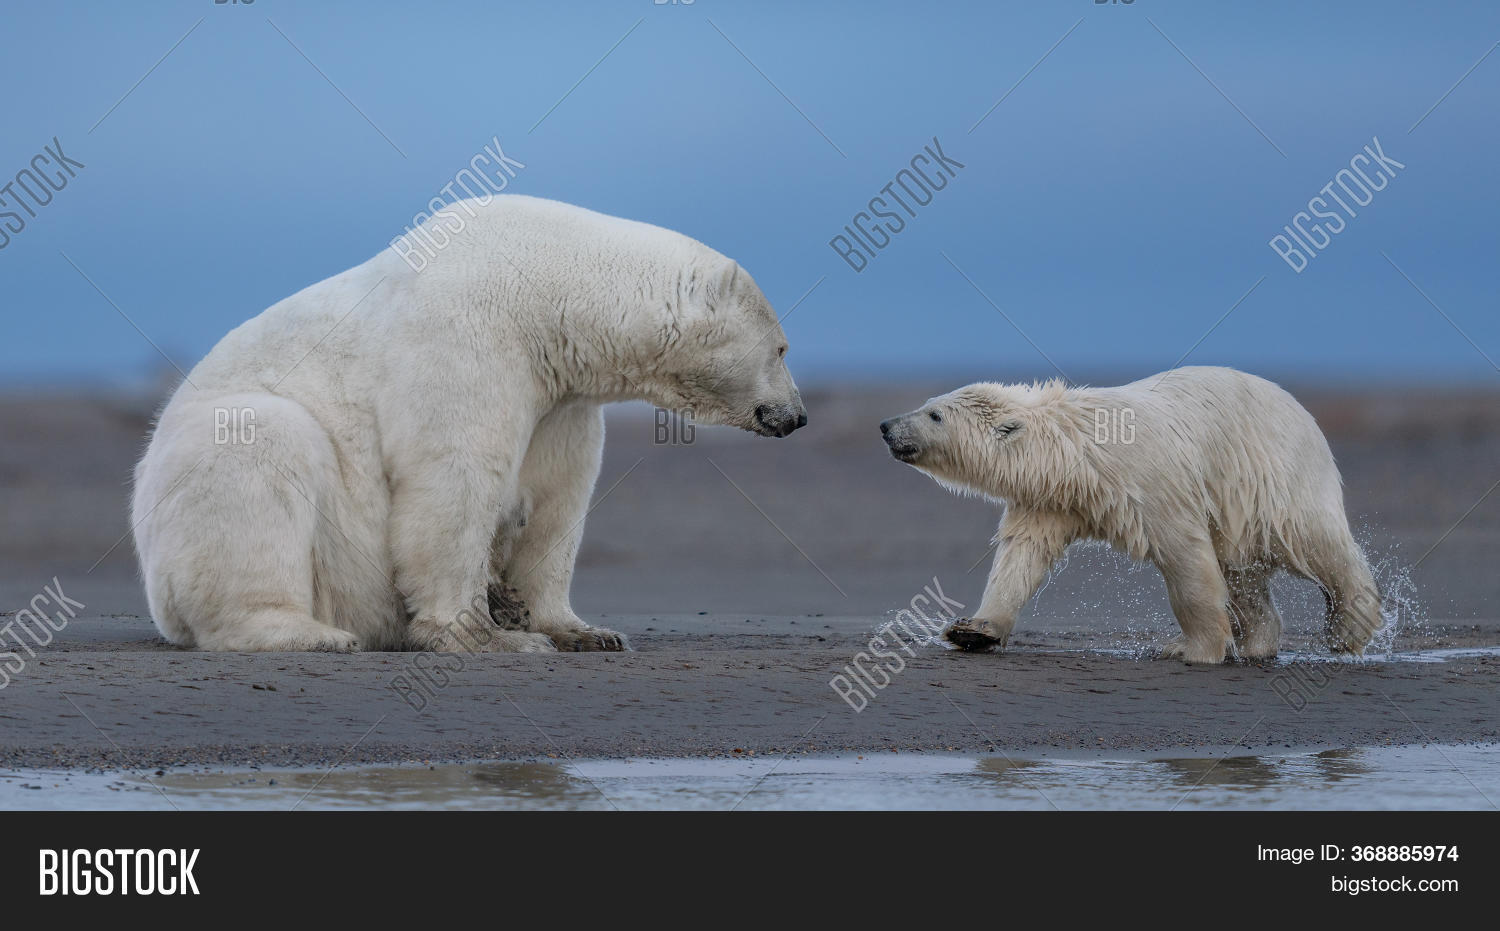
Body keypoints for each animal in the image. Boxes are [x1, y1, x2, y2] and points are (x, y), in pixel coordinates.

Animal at [131, 195, 806, 653]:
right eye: (781, 348)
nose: (797, 415)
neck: (548, 290)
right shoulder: (469, 337)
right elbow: (455, 479)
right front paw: (487, 636)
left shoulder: (559, 396)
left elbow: (558, 498)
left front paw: (582, 630)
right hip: (211, 479)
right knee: (261, 453)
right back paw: (308, 633)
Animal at [878, 366, 1383, 664]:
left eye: (935, 414)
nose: (886, 425)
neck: (1075, 454)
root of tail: (1302, 411)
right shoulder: (1051, 500)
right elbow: (1020, 557)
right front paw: (973, 630)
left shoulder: (1150, 481)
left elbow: (1185, 557)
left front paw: (1193, 648)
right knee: (1242, 572)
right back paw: (1259, 642)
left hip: (1270, 475)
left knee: (1314, 540)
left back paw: (1348, 628)